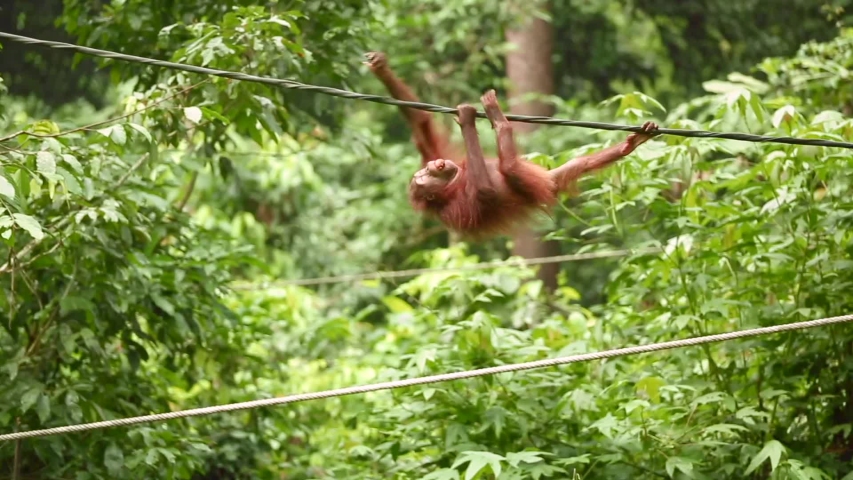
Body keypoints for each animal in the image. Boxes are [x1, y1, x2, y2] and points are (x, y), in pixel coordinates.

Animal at [364, 51, 658, 238]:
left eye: (424, 172)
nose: (433, 167)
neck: (455, 182)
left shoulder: (436, 152)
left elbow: (421, 122)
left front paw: (380, 67)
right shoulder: (455, 209)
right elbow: (485, 192)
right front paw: (467, 118)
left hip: (544, 181)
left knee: (576, 164)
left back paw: (630, 144)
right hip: (530, 187)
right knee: (509, 168)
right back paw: (498, 119)